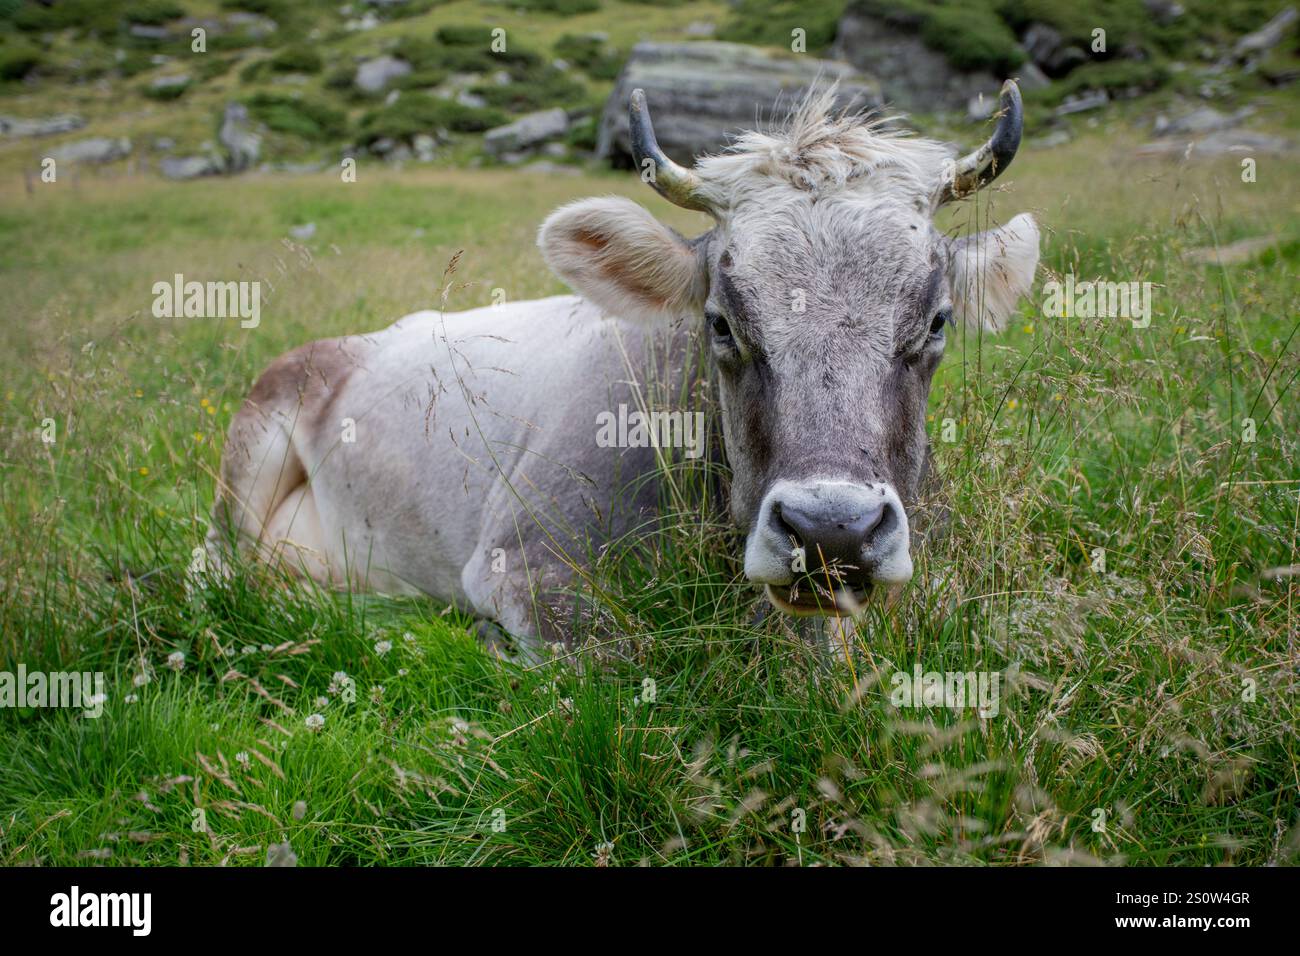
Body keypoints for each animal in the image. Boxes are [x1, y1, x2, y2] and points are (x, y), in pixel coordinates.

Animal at [207, 82, 1040, 653]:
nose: (831, 530)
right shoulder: (522, 564)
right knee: (220, 570)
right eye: (720, 321)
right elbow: (620, 658)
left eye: (937, 321)